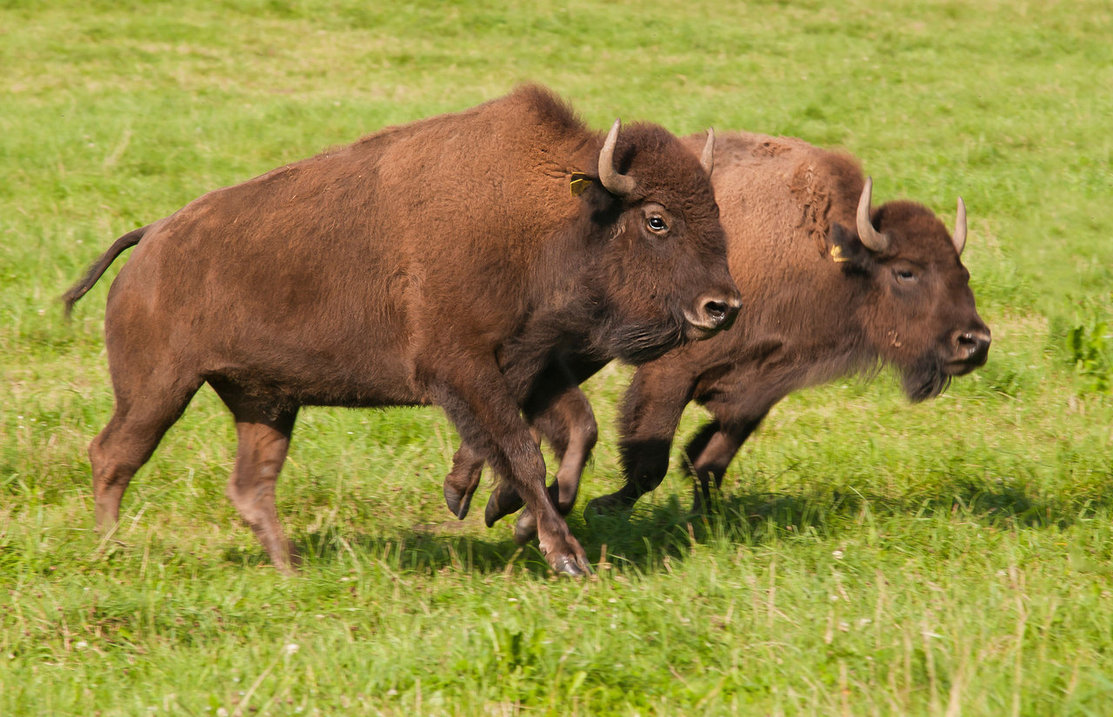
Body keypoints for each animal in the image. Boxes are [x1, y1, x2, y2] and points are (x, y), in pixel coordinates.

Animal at [63, 85, 741, 576]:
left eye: (714, 206)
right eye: (656, 219)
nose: (723, 306)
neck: (555, 215)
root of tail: (151, 239)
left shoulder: (535, 364)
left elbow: (576, 433)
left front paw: (505, 515)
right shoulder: (466, 370)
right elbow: (522, 449)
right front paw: (564, 555)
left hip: (264, 403)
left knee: (250, 485)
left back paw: (290, 569)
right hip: (158, 390)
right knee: (113, 456)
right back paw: (110, 551)